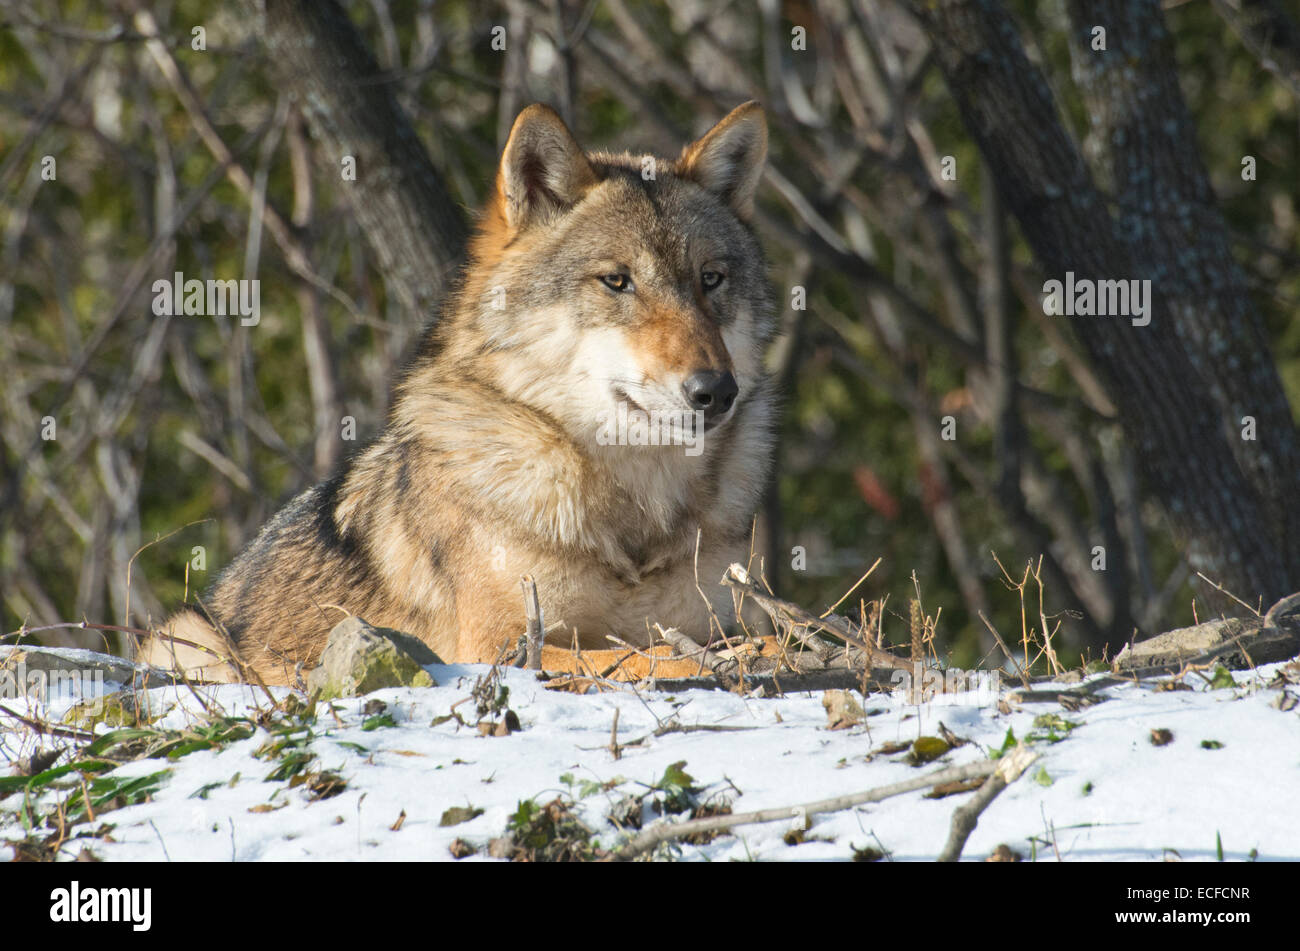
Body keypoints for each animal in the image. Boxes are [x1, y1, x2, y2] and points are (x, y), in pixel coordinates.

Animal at [141, 102, 778, 684]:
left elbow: (721, 634)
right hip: (182, 639)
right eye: (617, 281)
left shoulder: (715, 610)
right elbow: (643, 655)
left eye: (711, 279)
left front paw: (771, 646)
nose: (715, 390)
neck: (637, 521)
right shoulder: (501, 644)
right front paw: (745, 659)